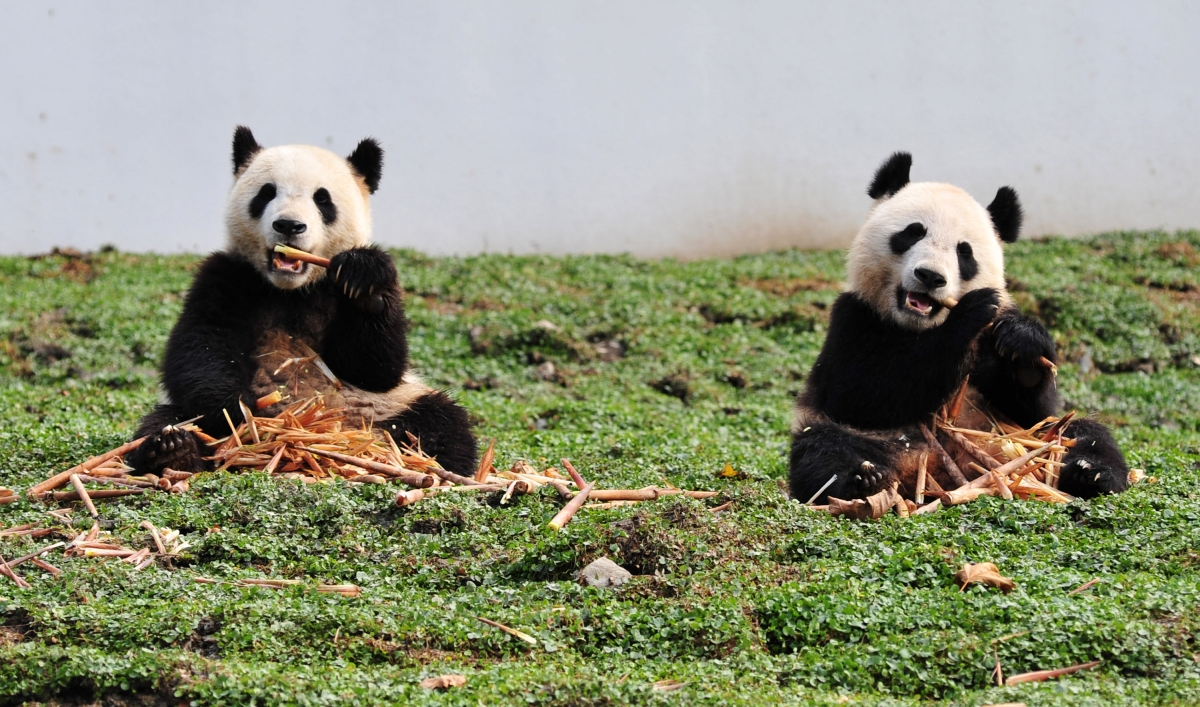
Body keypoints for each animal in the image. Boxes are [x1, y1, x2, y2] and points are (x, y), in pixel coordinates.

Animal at [126, 126, 478, 475]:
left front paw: (366, 283)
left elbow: (374, 369)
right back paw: (174, 450)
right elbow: (202, 346)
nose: (289, 225)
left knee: (443, 422)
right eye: (267, 193)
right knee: (167, 420)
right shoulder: (228, 277)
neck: (291, 290)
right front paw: (238, 412)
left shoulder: (334, 293)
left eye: (322, 199)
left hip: (389, 404)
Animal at [788, 152, 1128, 504]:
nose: (930, 276)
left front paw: (1024, 344)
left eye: (964, 252)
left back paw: (1091, 473)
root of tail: (936, 467)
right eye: (913, 232)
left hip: (1022, 436)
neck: (919, 327)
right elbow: (861, 393)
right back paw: (863, 479)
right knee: (823, 448)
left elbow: (1035, 407)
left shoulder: (1001, 360)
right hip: (867, 437)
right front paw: (971, 311)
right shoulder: (853, 318)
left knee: (1082, 433)